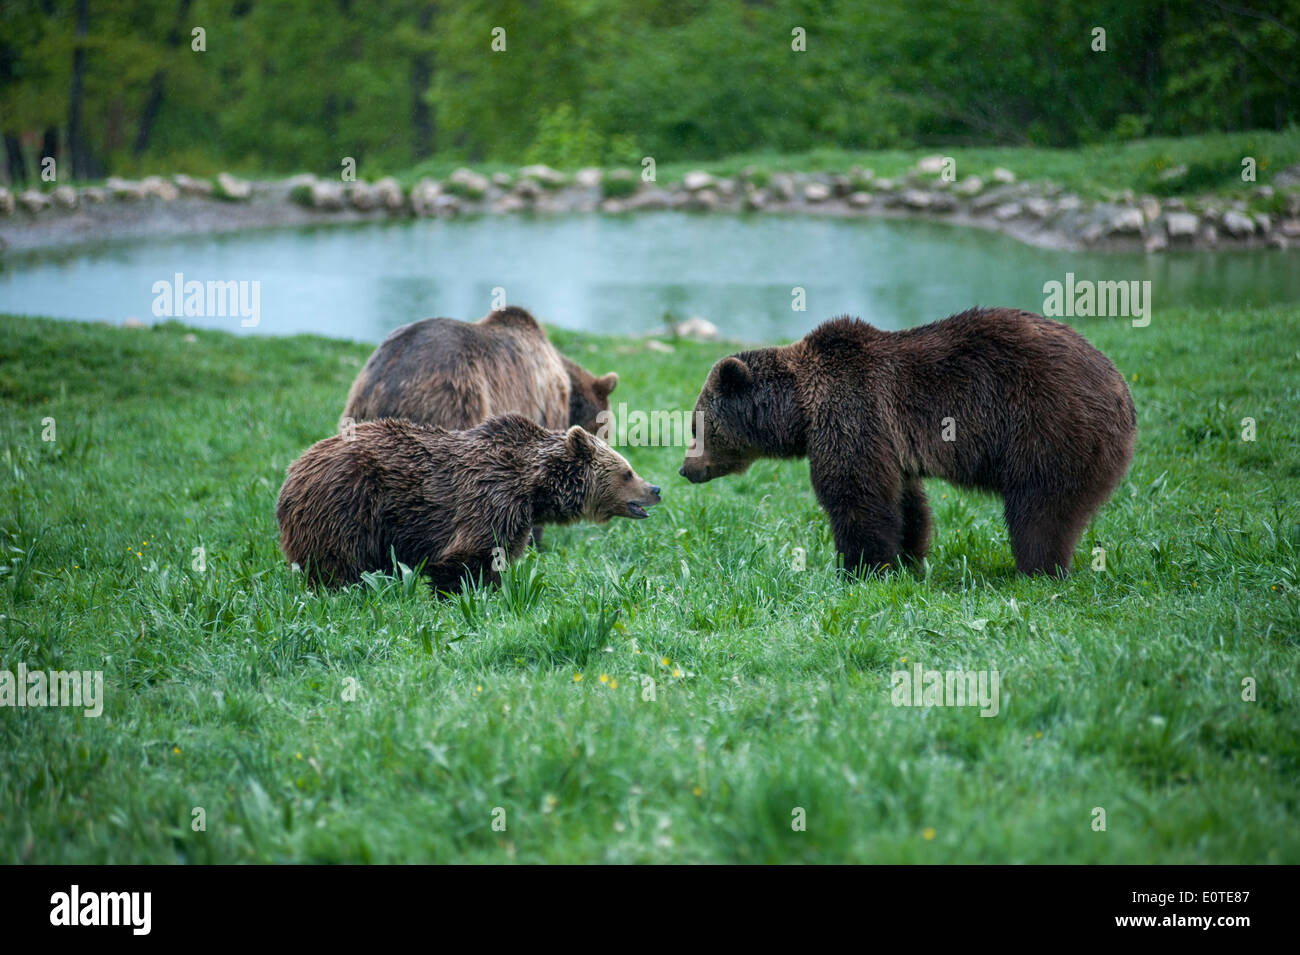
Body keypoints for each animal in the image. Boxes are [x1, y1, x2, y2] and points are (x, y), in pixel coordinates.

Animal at [277, 413, 661, 592]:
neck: (533, 488)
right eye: (627, 471)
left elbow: (498, 555)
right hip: (348, 504)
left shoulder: (515, 515)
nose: (655, 488)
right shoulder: (489, 499)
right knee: (337, 562)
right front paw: (464, 594)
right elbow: (468, 558)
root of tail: (294, 469)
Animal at [679, 307, 1136, 577]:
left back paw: (1037, 568)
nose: (686, 469)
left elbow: (856, 494)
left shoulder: (852, 411)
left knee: (1040, 509)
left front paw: (858, 568)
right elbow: (904, 500)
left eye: (695, 426)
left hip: (1048, 426)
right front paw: (907, 559)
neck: (799, 409)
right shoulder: (887, 441)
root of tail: (1120, 388)